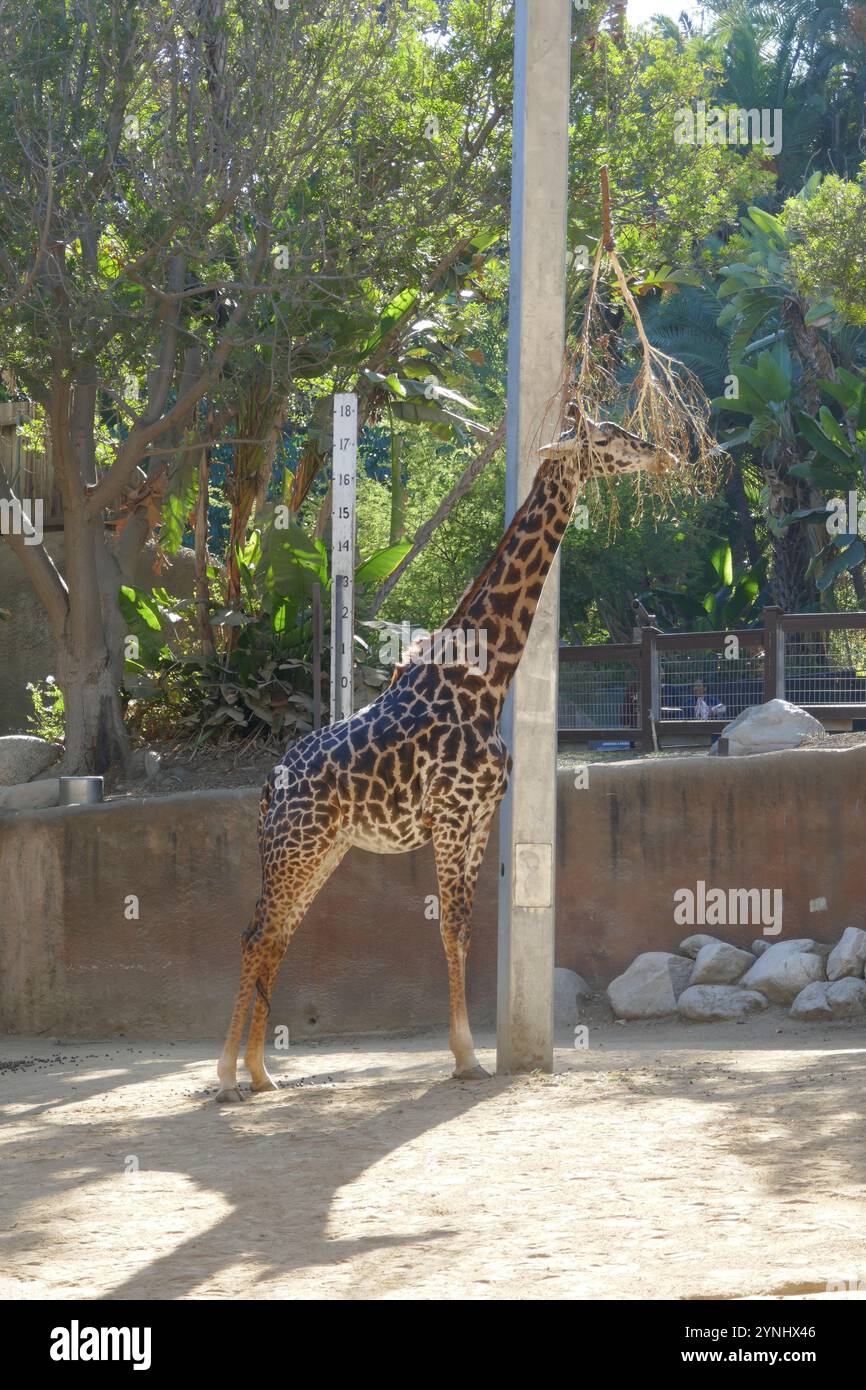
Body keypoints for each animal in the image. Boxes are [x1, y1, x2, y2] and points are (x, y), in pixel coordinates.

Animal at [216, 414, 677, 1100]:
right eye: (605, 439)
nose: (664, 456)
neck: (483, 680)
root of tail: (270, 786)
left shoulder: (481, 819)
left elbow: (465, 928)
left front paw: (468, 1053)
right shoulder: (453, 817)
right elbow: (450, 927)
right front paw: (465, 1056)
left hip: (320, 852)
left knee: (275, 937)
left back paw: (261, 1073)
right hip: (295, 851)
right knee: (254, 936)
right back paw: (226, 1075)